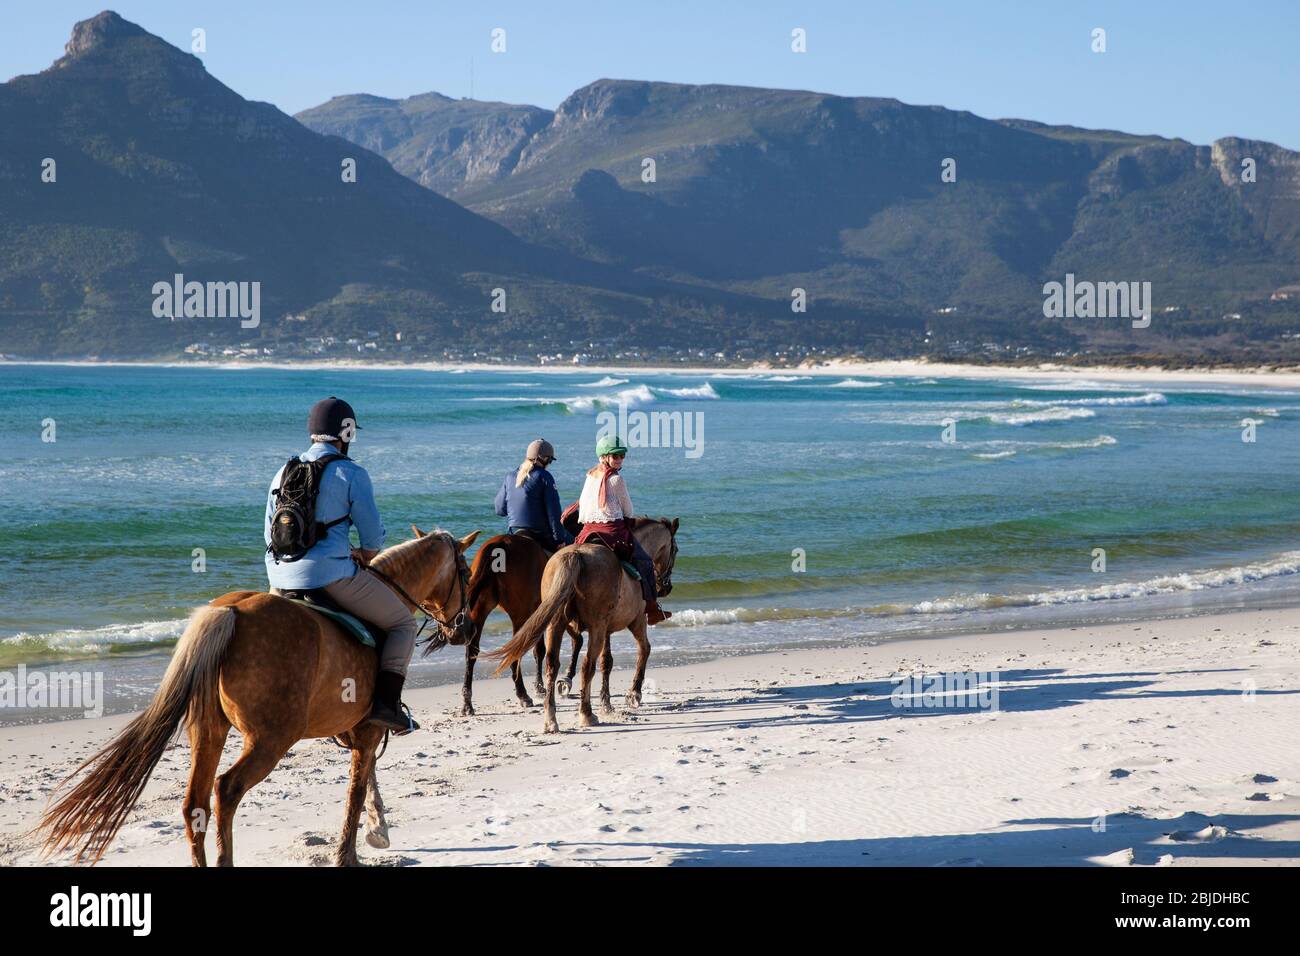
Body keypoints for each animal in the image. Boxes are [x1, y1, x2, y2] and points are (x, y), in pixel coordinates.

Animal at [36, 527, 479, 866]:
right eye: (464, 573)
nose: (465, 627)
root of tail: (230, 610)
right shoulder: (368, 731)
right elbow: (356, 789)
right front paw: (350, 851)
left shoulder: (359, 731)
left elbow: (367, 780)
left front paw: (378, 829)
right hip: (270, 740)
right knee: (226, 790)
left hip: (208, 732)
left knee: (195, 804)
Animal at [456, 533, 585, 716]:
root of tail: (499, 544)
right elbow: (556, 645)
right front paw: (550, 684)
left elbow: (540, 650)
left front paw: (541, 686)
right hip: (519, 615)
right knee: (515, 652)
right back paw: (522, 695)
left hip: (480, 611)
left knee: (472, 652)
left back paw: (467, 703)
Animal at [488, 517, 679, 733]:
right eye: (675, 550)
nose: (666, 587)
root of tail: (576, 555)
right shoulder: (636, 620)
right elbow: (643, 650)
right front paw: (633, 695)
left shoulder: (606, 630)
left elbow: (607, 662)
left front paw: (606, 703)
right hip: (597, 626)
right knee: (588, 665)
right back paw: (586, 714)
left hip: (557, 624)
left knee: (552, 663)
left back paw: (551, 718)